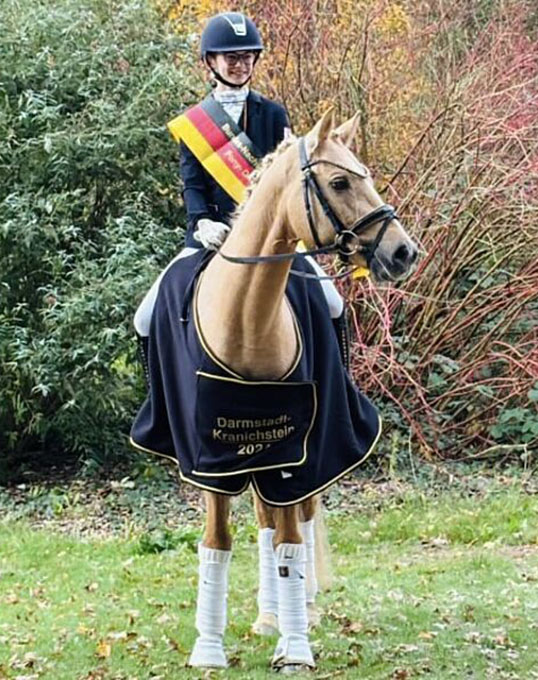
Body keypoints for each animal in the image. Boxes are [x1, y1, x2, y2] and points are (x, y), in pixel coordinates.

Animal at [131, 108, 417, 673]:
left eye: (366, 175)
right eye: (339, 182)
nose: (402, 252)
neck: (245, 320)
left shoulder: (291, 450)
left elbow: (289, 543)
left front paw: (297, 646)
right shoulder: (212, 460)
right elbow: (217, 543)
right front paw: (209, 649)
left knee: (293, 522)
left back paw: (294, 612)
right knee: (264, 521)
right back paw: (267, 617)